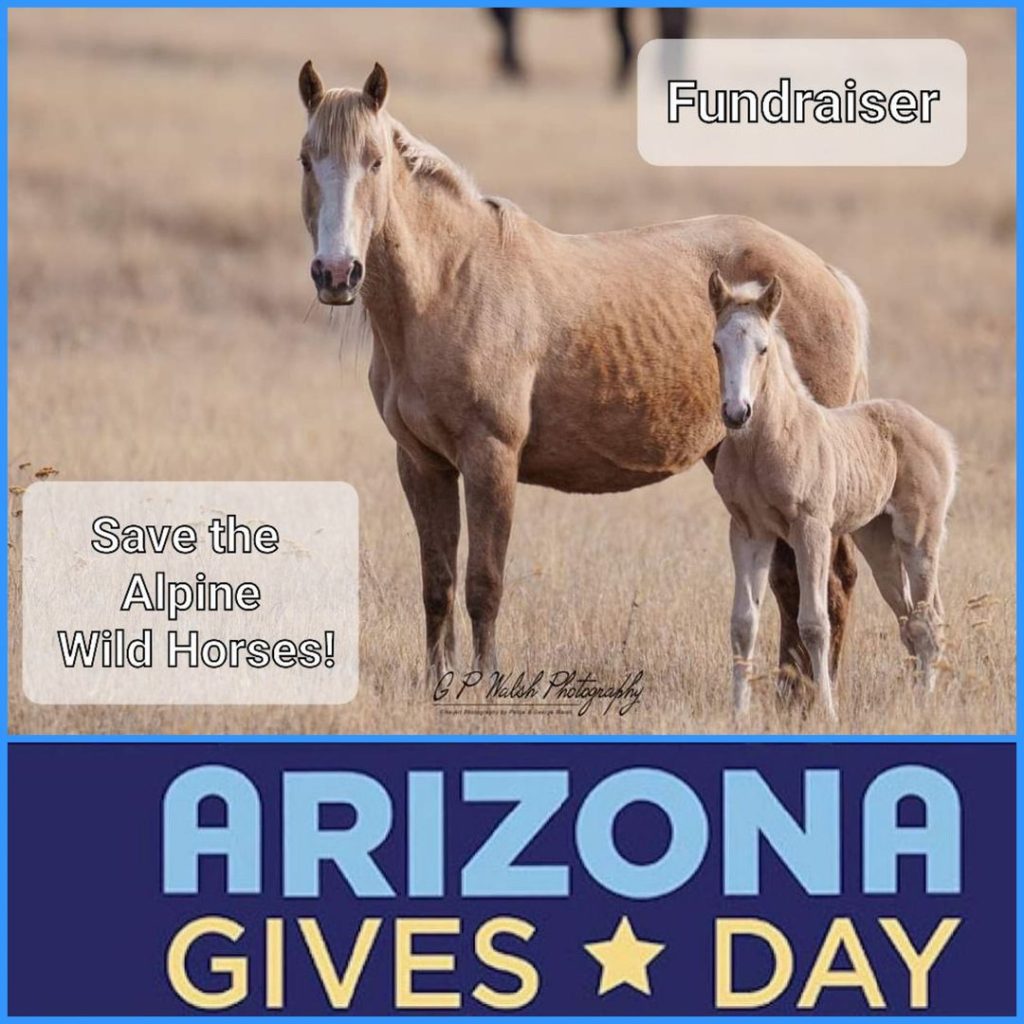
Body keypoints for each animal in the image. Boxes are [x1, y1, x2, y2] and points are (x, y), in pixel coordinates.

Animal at [296, 61, 870, 688]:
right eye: (306, 159)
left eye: (374, 160)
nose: (336, 273)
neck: (449, 284)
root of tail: (830, 277)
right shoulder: (422, 465)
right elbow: (438, 586)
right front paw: (437, 684)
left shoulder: (491, 459)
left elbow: (483, 586)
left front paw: (485, 683)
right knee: (793, 581)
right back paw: (792, 692)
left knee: (831, 581)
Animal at [707, 272, 956, 719]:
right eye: (717, 346)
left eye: (763, 348)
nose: (736, 412)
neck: (765, 443)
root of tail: (939, 435)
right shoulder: (748, 531)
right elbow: (743, 623)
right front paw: (738, 714)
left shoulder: (811, 528)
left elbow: (814, 622)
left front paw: (827, 711)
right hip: (878, 544)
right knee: (910, 619)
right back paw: (918, 698)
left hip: (919, 539)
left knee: (927, 621)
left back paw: (925, 706)